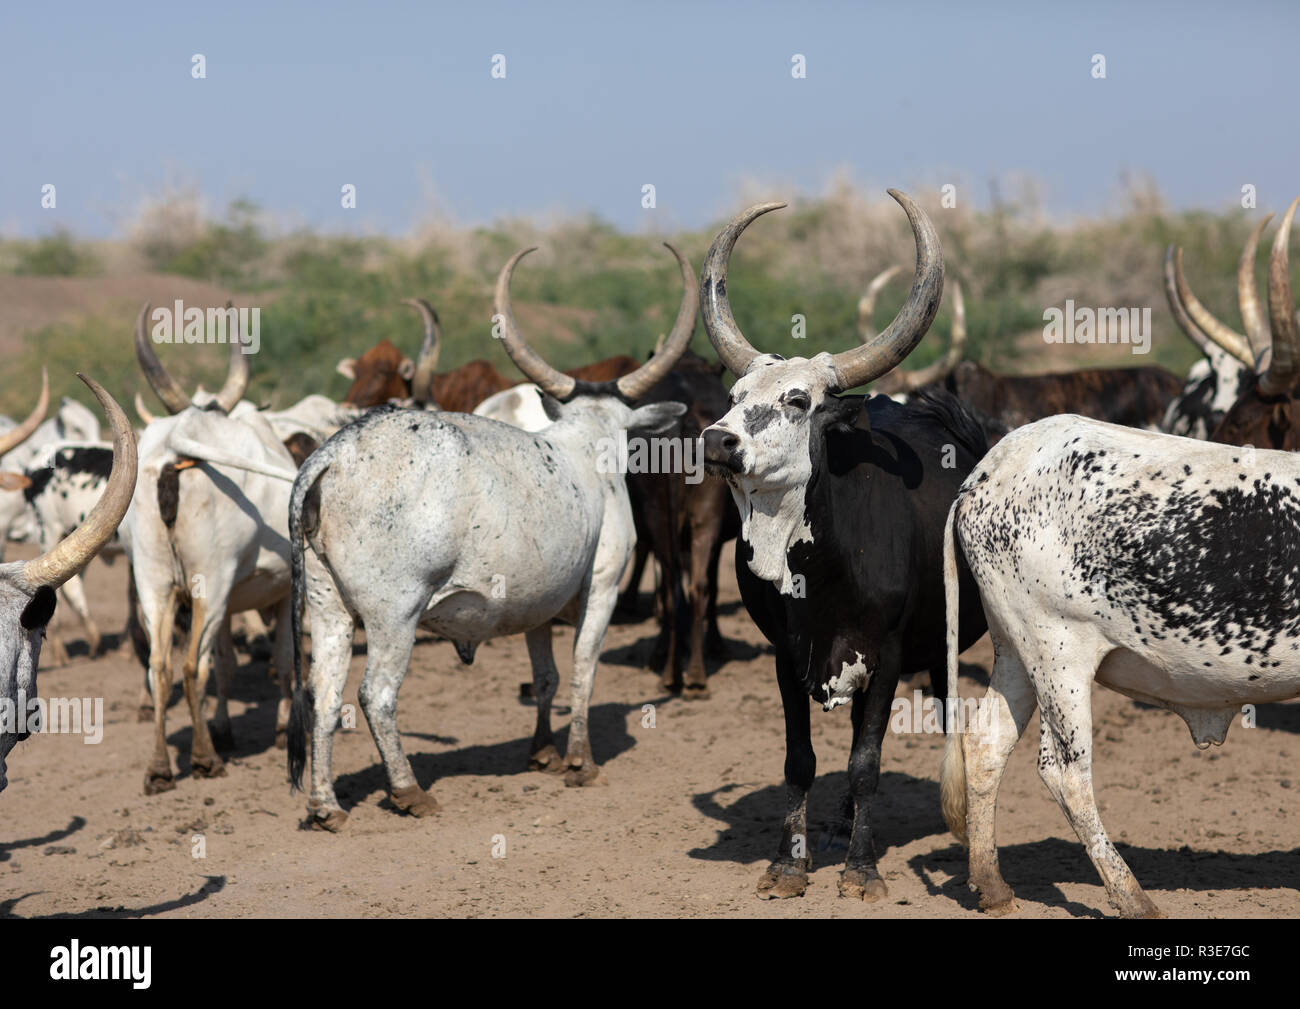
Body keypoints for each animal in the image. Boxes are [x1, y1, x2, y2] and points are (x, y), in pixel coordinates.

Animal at [126, 304, 301, 793]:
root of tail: (174, 450)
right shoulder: (281, 590)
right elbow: (281, 660)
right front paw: (281, 728)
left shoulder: (231, 601)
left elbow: (226, 663)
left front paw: (224, 728)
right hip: (211, 580)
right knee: (191, 667)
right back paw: (205, 759)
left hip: (155, 583)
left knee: (161, 667)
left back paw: (160, 769)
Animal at [284, 243, 697, 831]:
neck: (588, 442)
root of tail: (333, 453)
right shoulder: (603, 586)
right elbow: (583, 671)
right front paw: (580, 762)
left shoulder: (538, 605)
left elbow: (546, 677)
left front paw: (542, 753)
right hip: (395, 613)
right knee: (376, 695)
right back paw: (409, 791)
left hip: (327, 606)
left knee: (323, 696)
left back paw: (325, 805)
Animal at [698, 192, 989, 901]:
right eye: (734, 397)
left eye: (798, 400)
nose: (717, 440)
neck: (821, 572)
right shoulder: (786, 654)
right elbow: (800, 761)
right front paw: (789, 862)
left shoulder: (887, 656)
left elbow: (867, 761)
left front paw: (861, 870)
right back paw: (838, 827)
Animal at [939, 410, 1300, 918]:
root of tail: (989, 470)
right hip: (1059, 653)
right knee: (1066, 772)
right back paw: (1133, 896)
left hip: (1015, 649)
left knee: (987, 745)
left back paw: (991, 885)